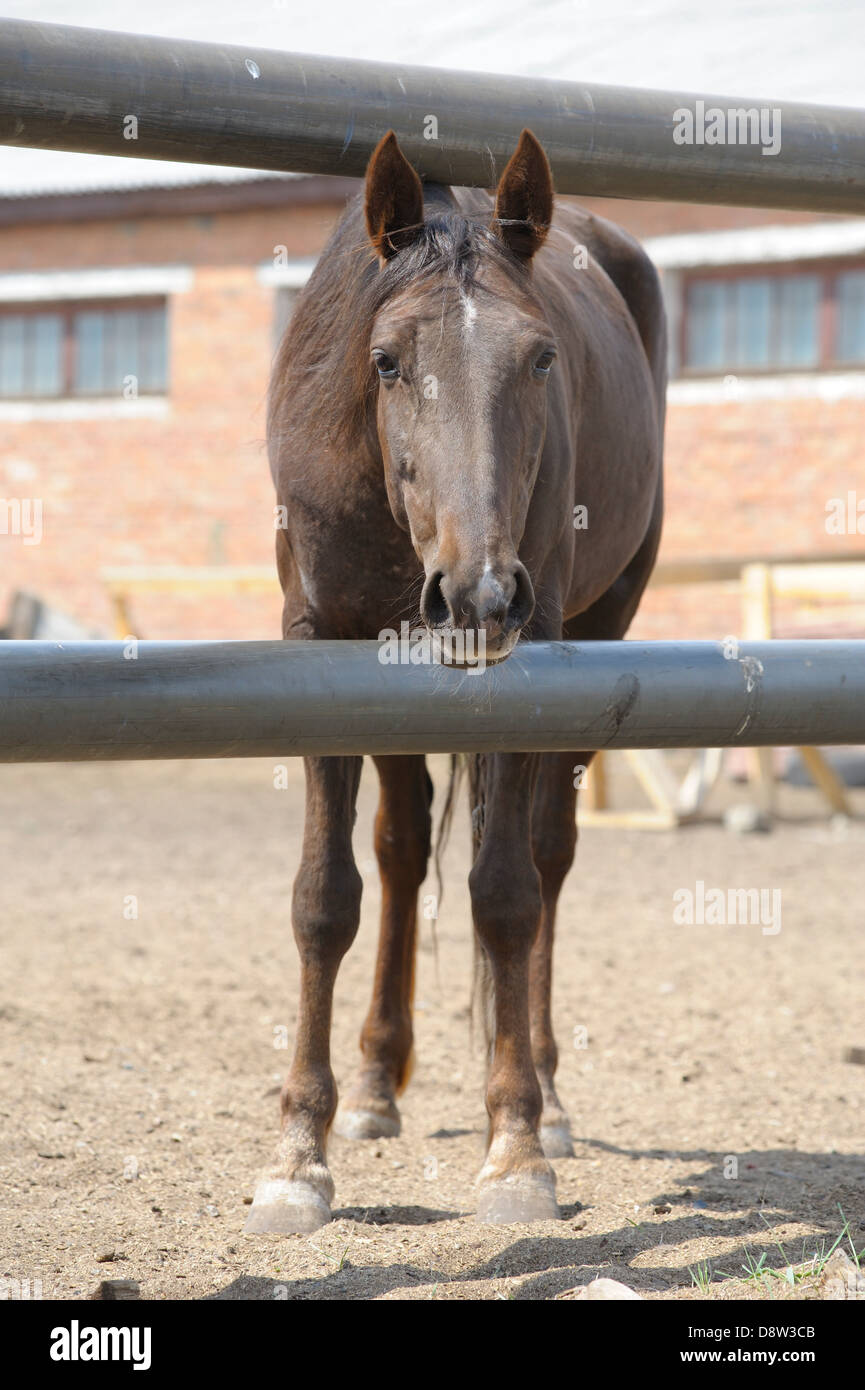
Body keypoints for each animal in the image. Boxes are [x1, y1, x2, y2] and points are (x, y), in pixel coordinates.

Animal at [245, 128, 666, 1232]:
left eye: (542, 357)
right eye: (387, 361)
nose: (478, 593)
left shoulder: (540, 645)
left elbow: (505, 893)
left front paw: (514, 1146)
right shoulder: (319, 644)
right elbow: (324, 896)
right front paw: (298, 1149)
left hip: (598, 630)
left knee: (548, 857)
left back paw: (549, 1098)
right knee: (397, 848)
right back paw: (375, 1084)